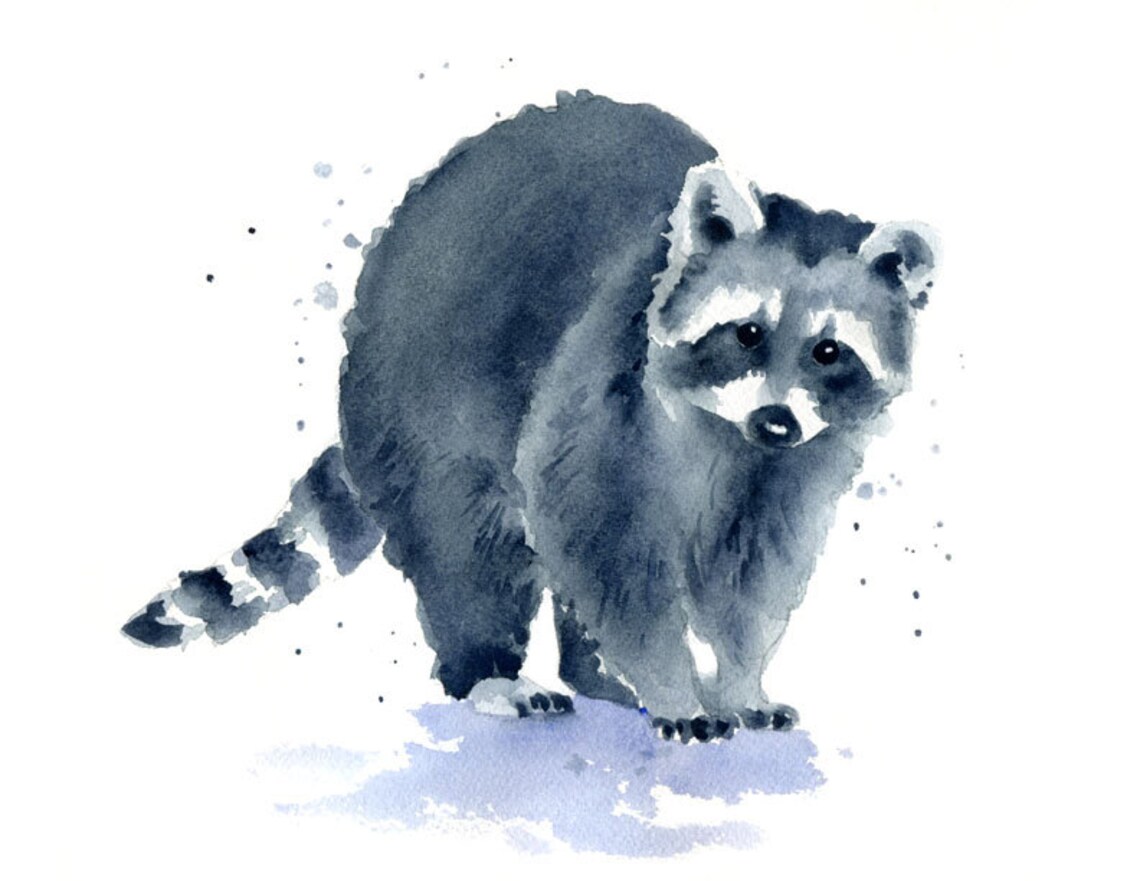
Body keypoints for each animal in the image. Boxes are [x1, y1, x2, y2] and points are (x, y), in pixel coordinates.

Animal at [123, 90, 936, 740]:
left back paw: (594, 670)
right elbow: (603, 544)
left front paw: (739, 681)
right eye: (746, 333)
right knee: (466, 539)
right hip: (423, 395)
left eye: (829, 351)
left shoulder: (799, 467)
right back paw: (490, 670)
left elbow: (758, 573)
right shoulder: (601, 389)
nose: (776, 420)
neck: (729, 440)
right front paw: (674, 683)